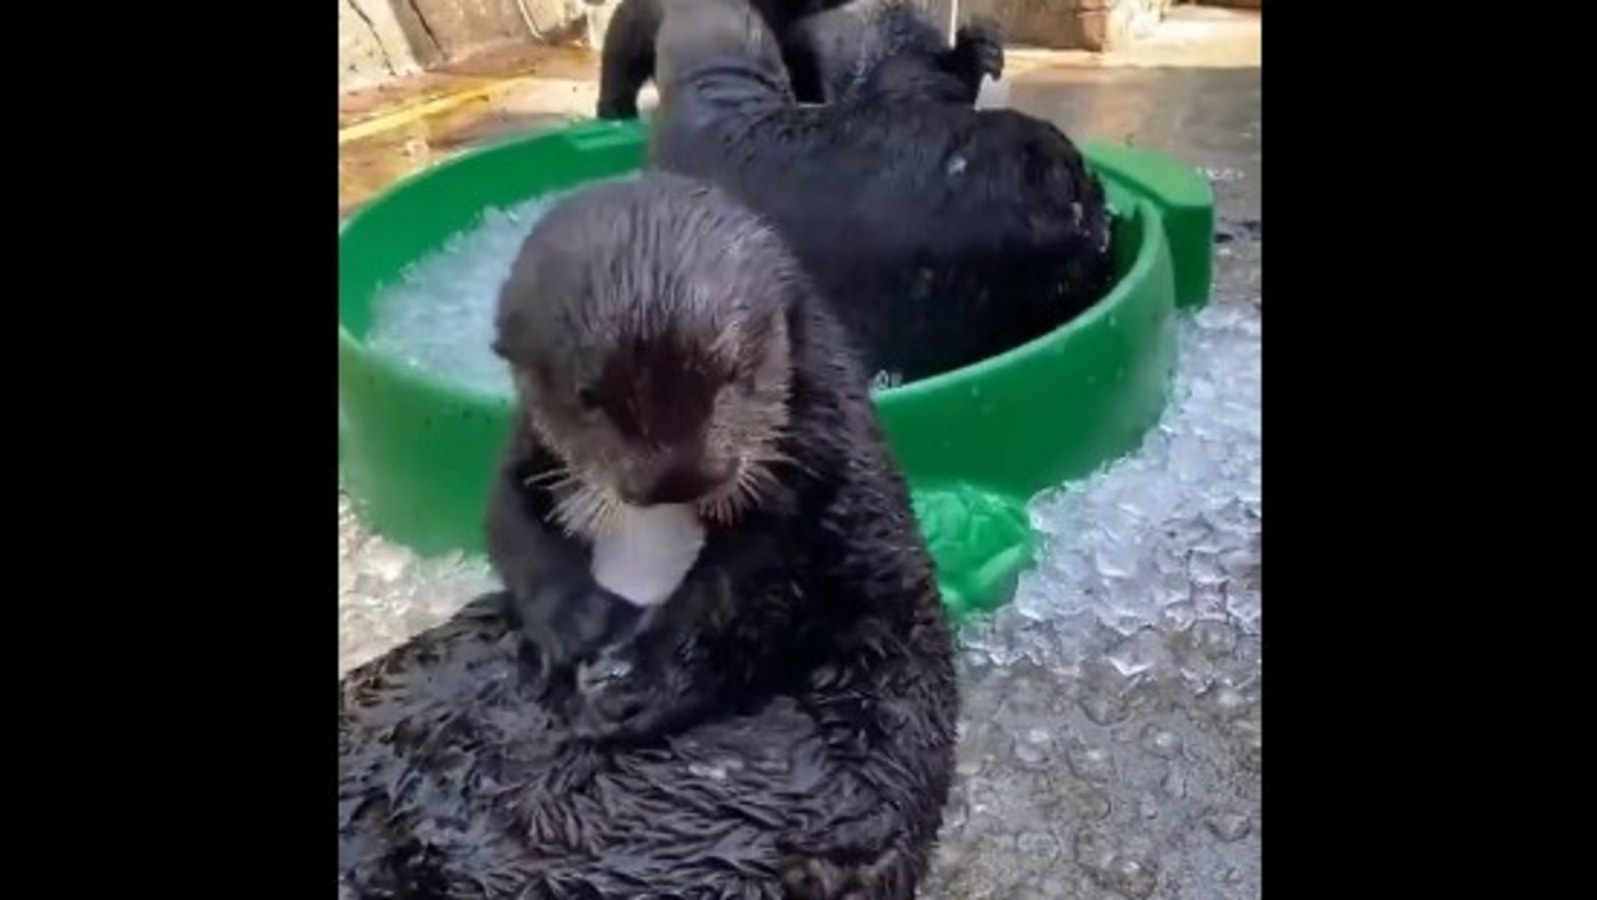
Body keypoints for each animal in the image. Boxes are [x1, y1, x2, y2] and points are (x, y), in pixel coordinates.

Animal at [339, 172, 960, 898]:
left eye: (733, 373)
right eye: (588, 397)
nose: (677, 475)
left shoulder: (814, 501)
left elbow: (750, 601)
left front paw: (629, 687)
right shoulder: (531, 459)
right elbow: (513, 526)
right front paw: (574, 627)